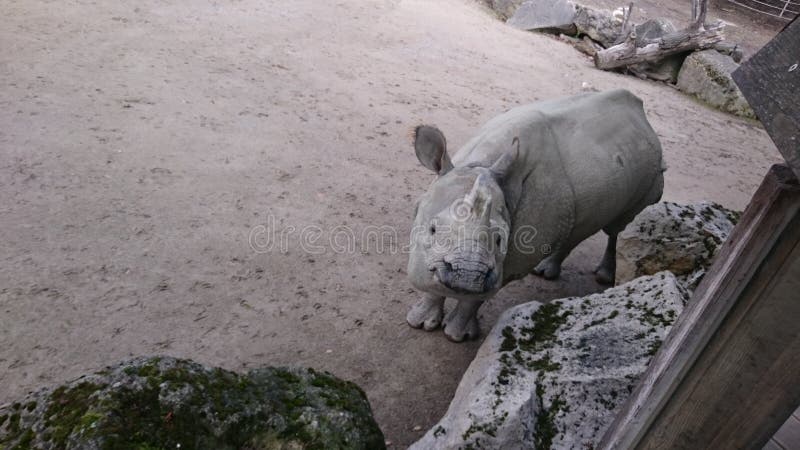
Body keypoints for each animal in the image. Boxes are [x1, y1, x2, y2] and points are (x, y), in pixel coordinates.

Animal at [406, 89, 665, 342]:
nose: (467, 276)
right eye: (432, 229)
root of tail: (643, 118)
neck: (480, 165)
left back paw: (603, 276)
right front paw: (421, 323)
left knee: (620, 227)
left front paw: (456, 335)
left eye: (499, 240)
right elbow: (431, 281)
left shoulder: (511, 260)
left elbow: (477, 298)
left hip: (652, 171)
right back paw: (544, 272)